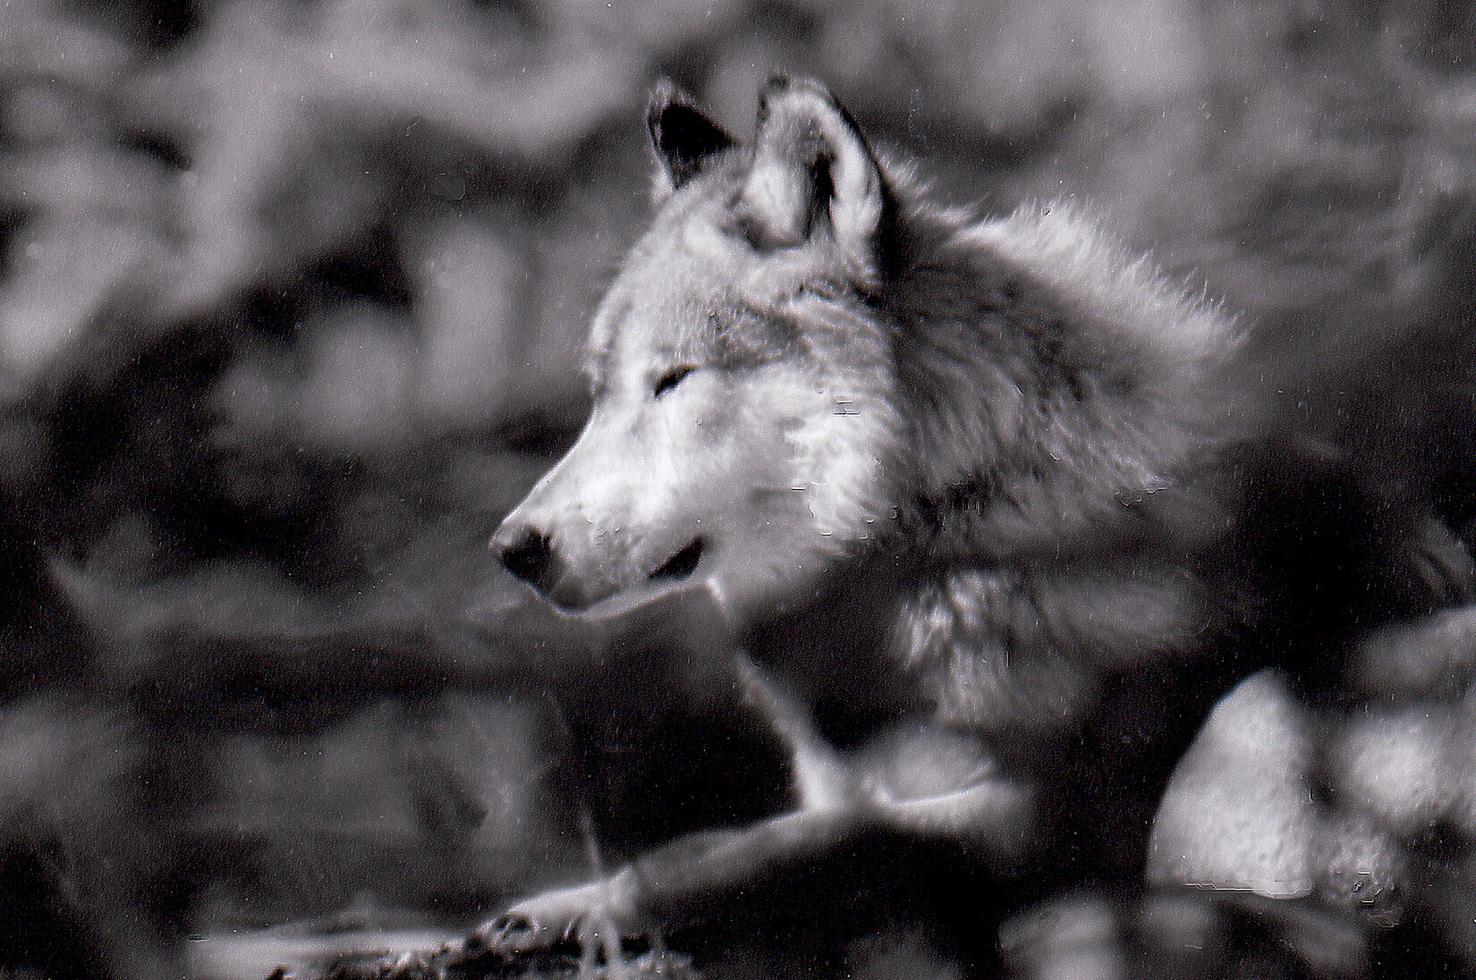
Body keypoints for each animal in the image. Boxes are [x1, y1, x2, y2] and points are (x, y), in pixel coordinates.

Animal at [472, 76, 1474, 965]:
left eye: (674, 379)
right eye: (599, 393)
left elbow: (762, 848)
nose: (513, 548)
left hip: (1251, 725)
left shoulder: (1037, 815)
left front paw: (573, 905)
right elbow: (801, 831)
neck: (945, 529)